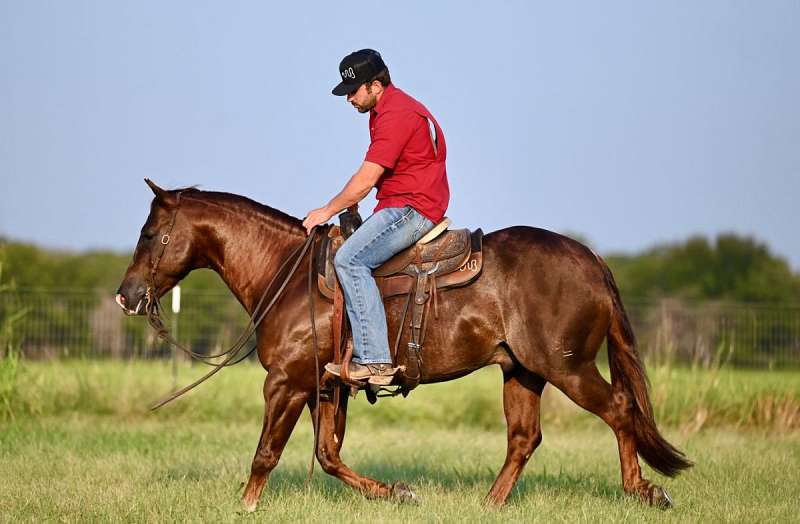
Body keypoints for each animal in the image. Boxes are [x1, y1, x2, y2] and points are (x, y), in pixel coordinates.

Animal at [115, 179, 691, 511]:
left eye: (148, 233)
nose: (126, 295)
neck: (289, 273)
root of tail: (591, 259)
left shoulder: (285, 383)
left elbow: (266, 453)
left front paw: (246, 507)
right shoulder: (323, 387)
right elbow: (328, 455)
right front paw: (395, 492)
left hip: (567, 367)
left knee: (620, 409)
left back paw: (644, 490)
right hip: (521, 371)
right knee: (525, 438)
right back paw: (488, 505)